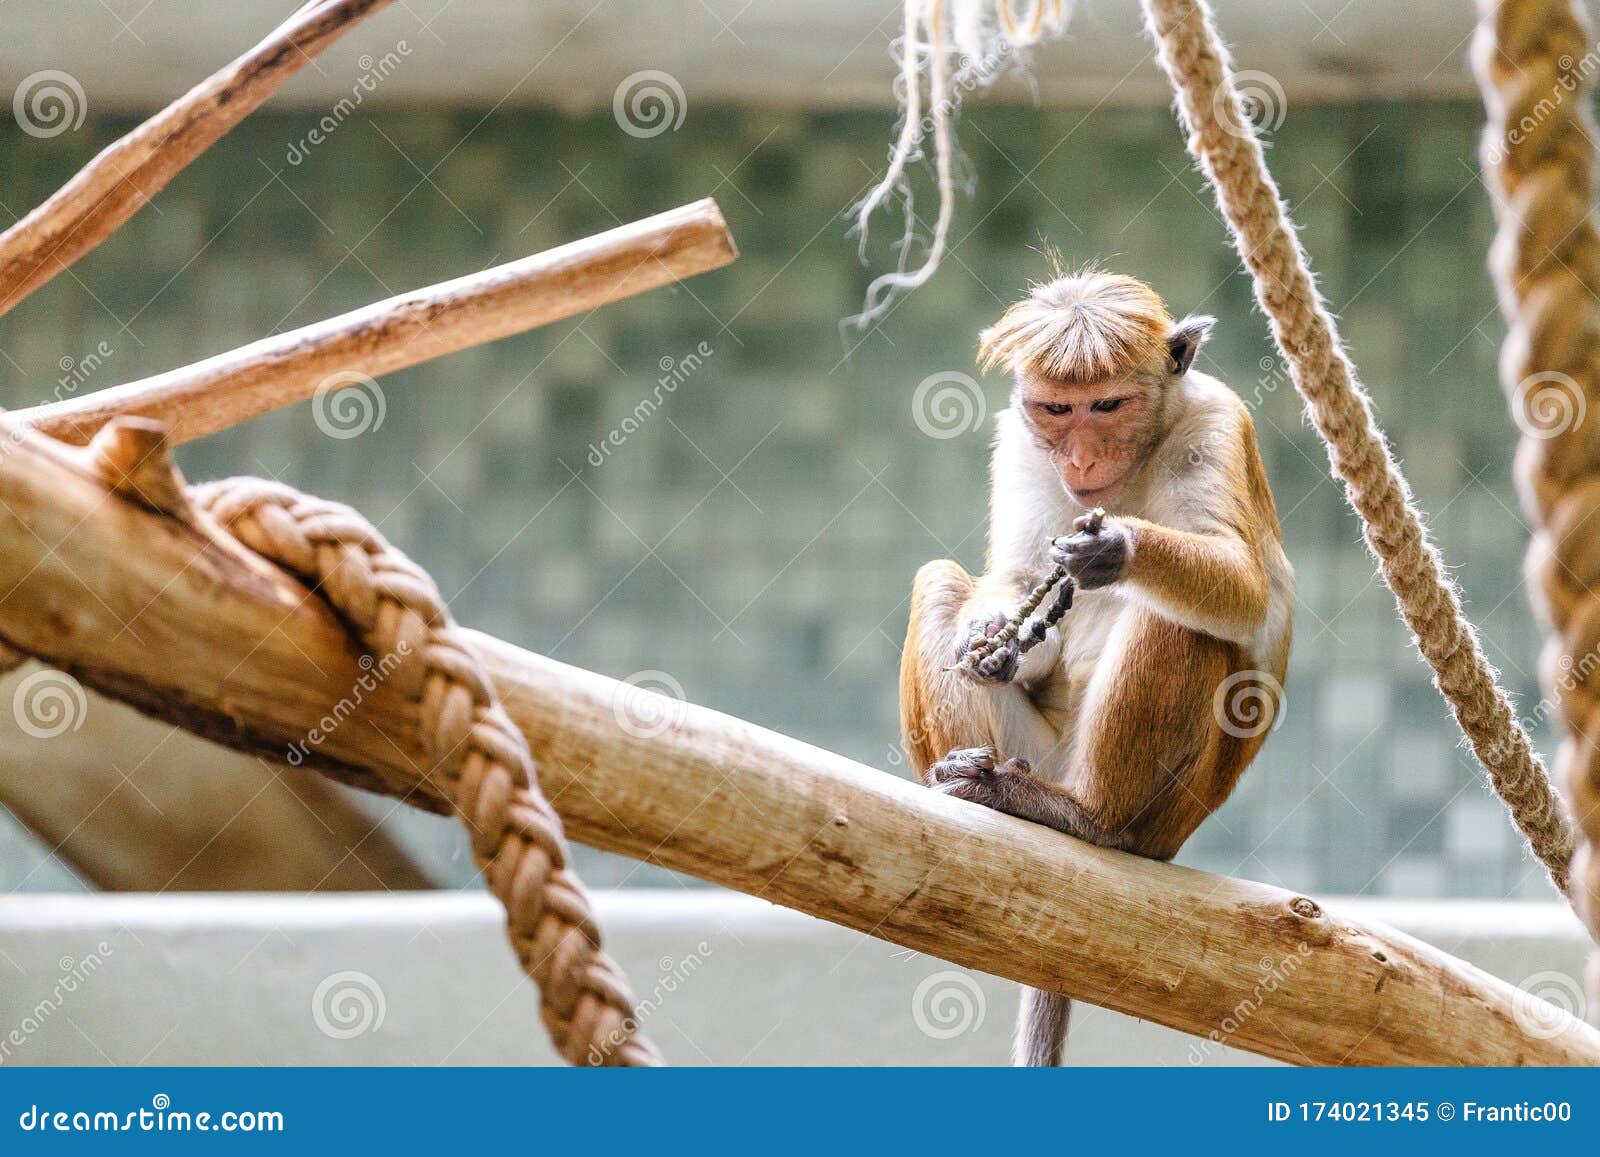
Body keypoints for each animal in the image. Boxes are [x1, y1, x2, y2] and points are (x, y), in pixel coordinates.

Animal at [898, 265, 1293, 1067]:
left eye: (1108, 405)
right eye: (1058, 409)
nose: (1080, 460)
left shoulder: (1217, 423)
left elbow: (1243, 590)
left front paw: (1118, 547)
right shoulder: (1019, 444)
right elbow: (1015, 578)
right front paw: (995, 634)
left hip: (1165, 810)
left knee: (1179, 620)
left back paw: (1088, 821)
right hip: (1036, 748)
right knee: (940, 582)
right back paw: (979, 788)